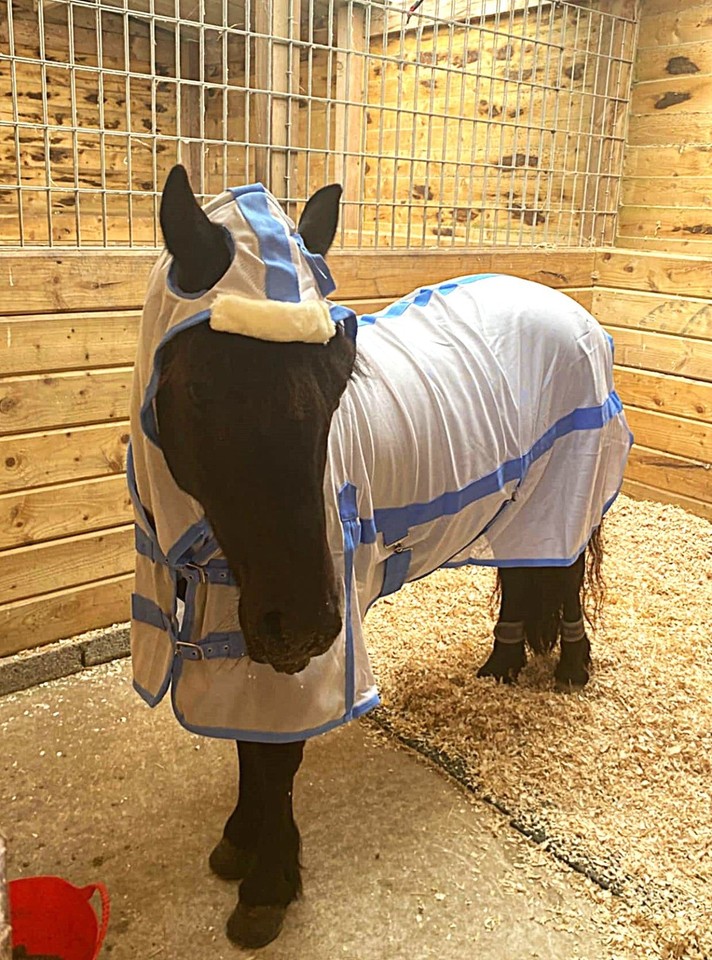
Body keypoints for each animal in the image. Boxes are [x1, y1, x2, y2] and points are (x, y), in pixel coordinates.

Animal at [128, 164, 632, 948]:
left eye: (339, 378)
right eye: (202, 389)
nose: (304, 622)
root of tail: (574, 314)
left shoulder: (301, 663)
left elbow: (274, 761)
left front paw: (267, 886)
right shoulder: (237, 633)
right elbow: (247, 748)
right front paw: (239, 844)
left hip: (564, 495)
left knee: (562, 573)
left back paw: (572, 669)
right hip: (518, 504)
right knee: (523, 581)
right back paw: (503, 665)